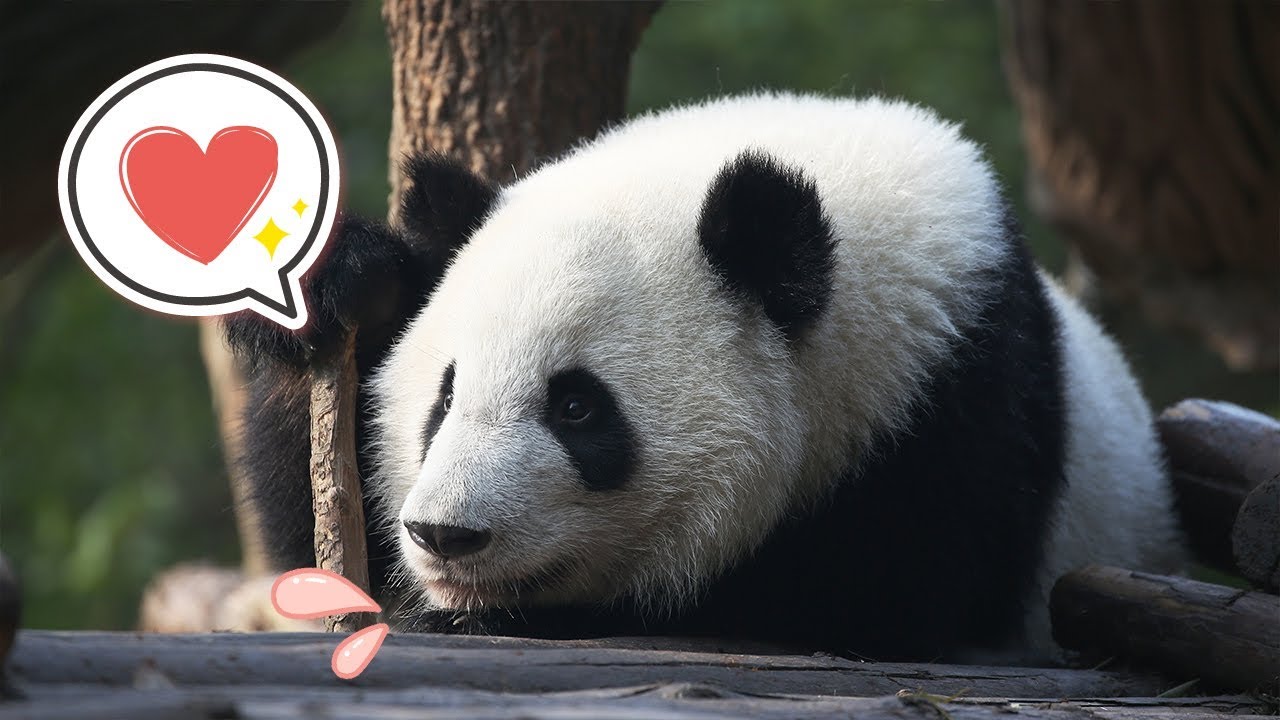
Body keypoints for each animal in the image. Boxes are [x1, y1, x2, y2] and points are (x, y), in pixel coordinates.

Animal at [225, 92, 1185, 663]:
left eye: (577, 407)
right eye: (445, 397)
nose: (445, 535)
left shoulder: (955, 407)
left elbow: (861, 606)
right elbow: (306, 539)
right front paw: (340, 285)